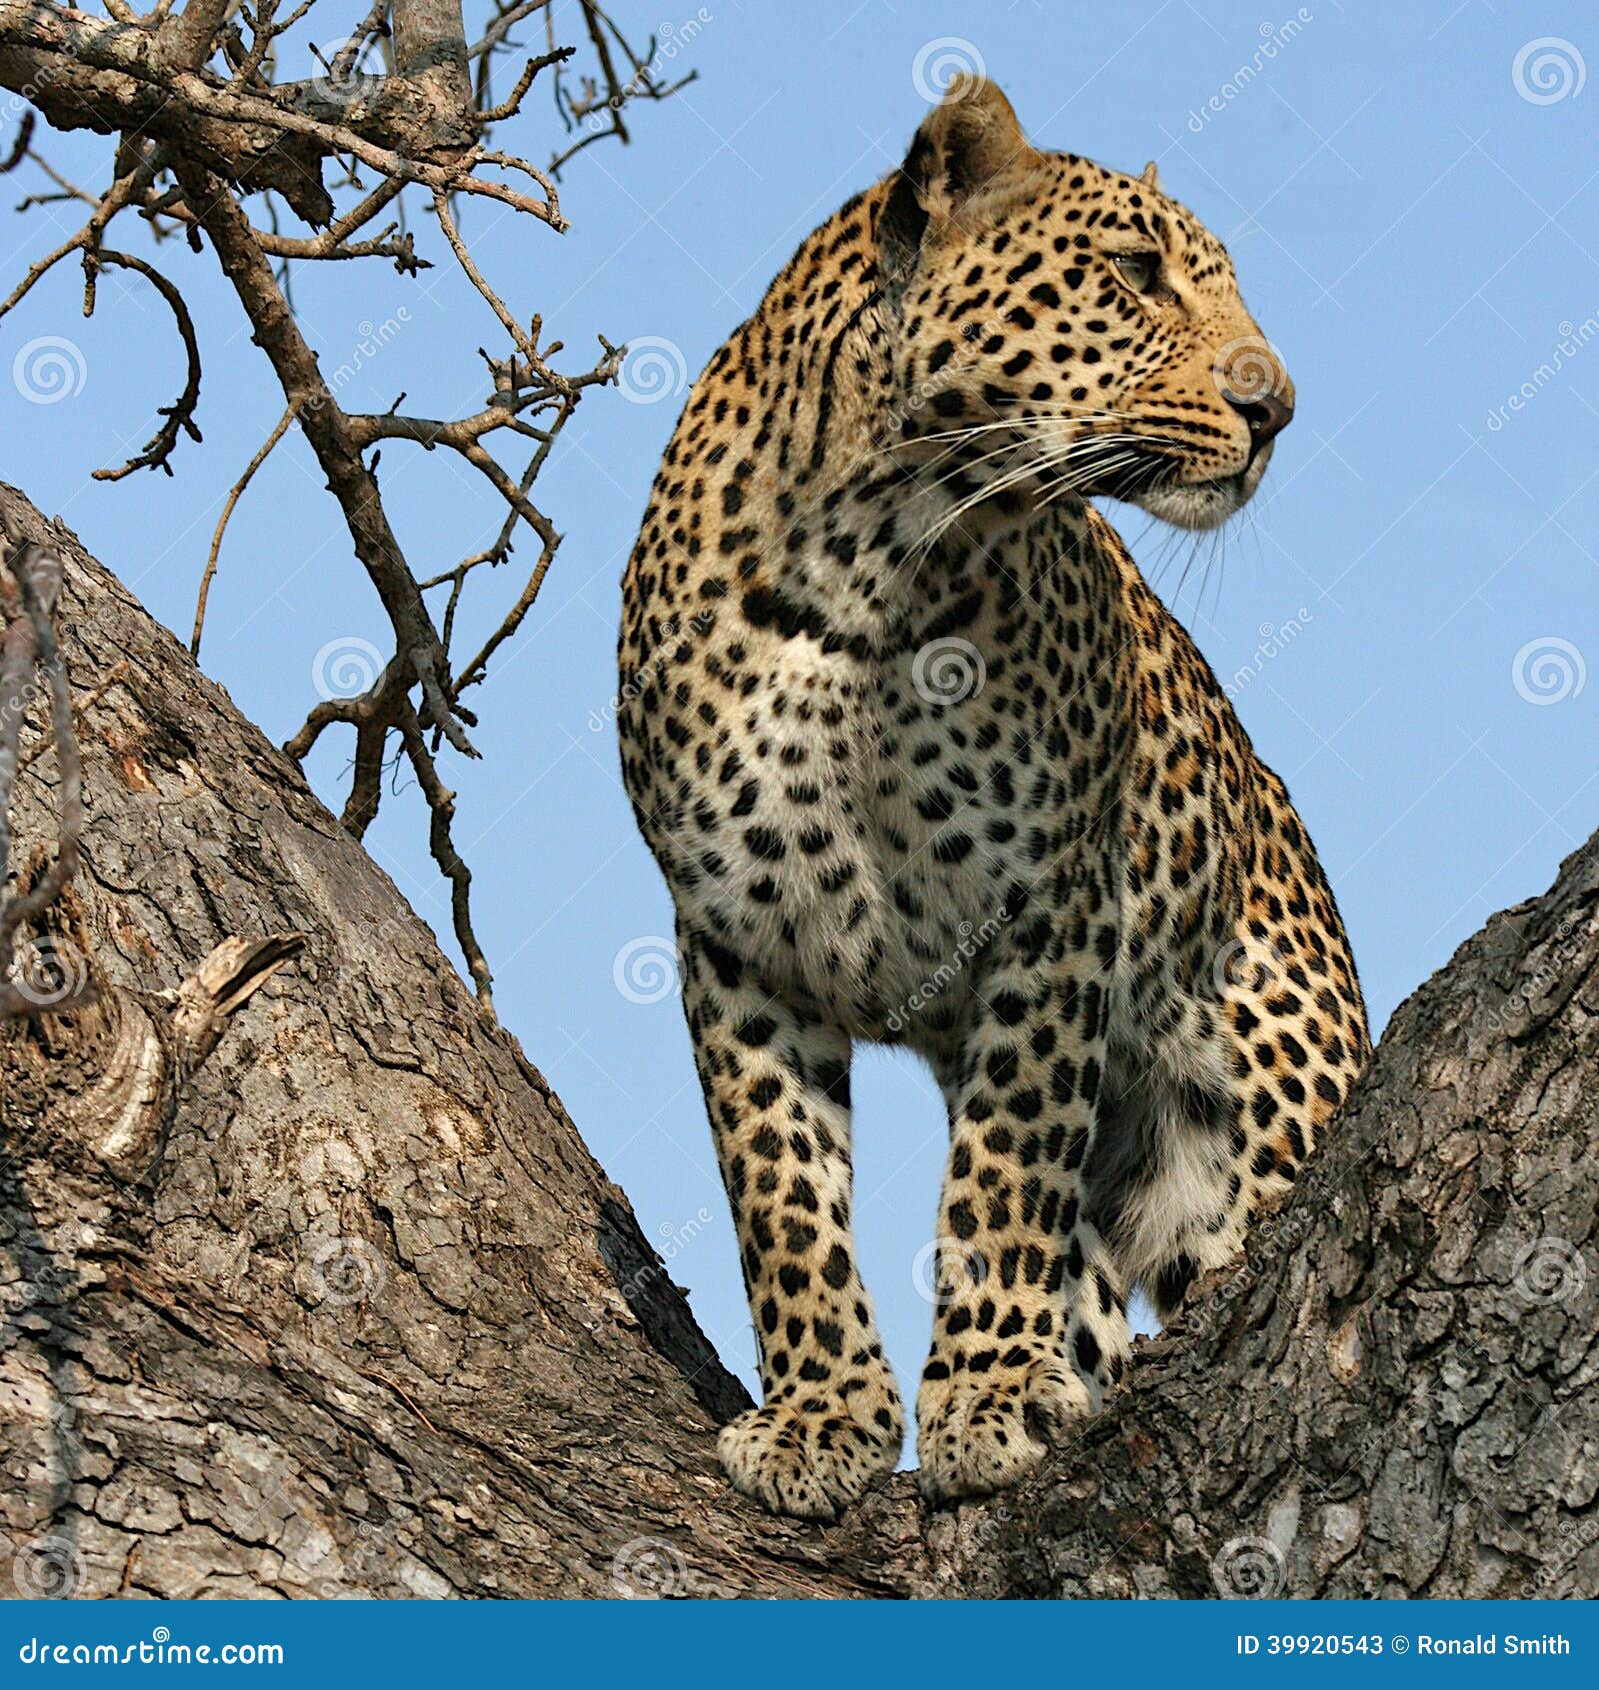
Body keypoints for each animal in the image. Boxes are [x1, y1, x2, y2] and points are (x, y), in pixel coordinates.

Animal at [617, 75, 1369, 1521]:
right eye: (1132, 274)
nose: (1279, 407)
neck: (867, 564)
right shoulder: (735, 938)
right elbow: (780, 1190)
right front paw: (823, 1415)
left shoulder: (1050, 914)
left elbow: (1003, 1176)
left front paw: (987, 1395)